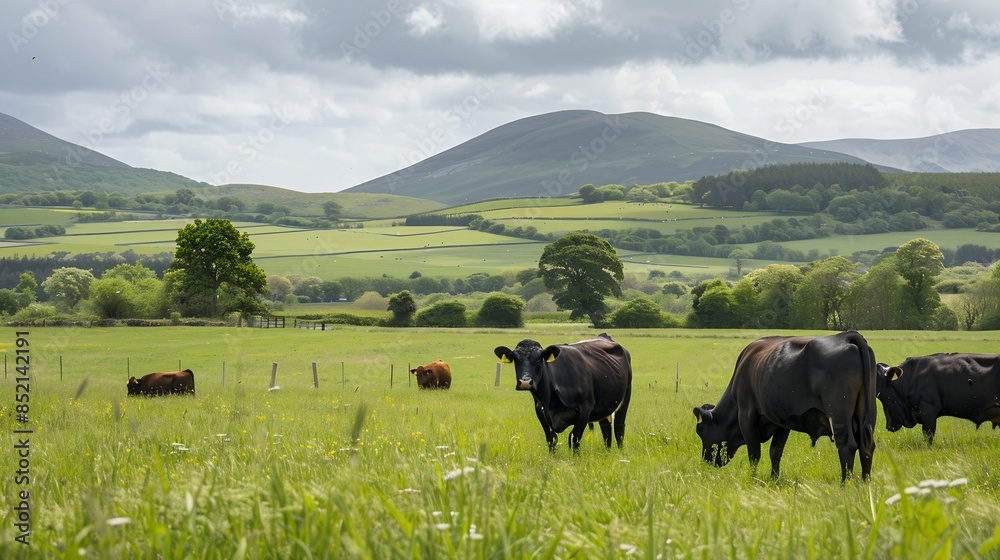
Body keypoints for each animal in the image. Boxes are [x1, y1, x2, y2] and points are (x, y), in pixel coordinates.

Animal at [494, 333, 633, 452]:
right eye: (516, 360)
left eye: (539, 359)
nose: (525, 382)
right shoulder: (540, 410)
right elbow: (551, 438)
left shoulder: (585, 407)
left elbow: (574, 437)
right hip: (605, 404)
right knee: (606, 429)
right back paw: (607, 452)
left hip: (626, 395)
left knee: (619, 427)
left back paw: (620, 453)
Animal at [692, 331, 876, 482]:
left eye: (700, 430)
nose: (706, 460)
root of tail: (846, 336)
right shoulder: (781, 421)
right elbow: (775, 451)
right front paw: (774, 479)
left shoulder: (746, 415)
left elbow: (754, 453)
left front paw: (752, 478)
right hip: (866, 414)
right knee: (866, 446)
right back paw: (865, 483)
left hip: (838, 413)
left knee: (847, 445)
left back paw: (845, 484)